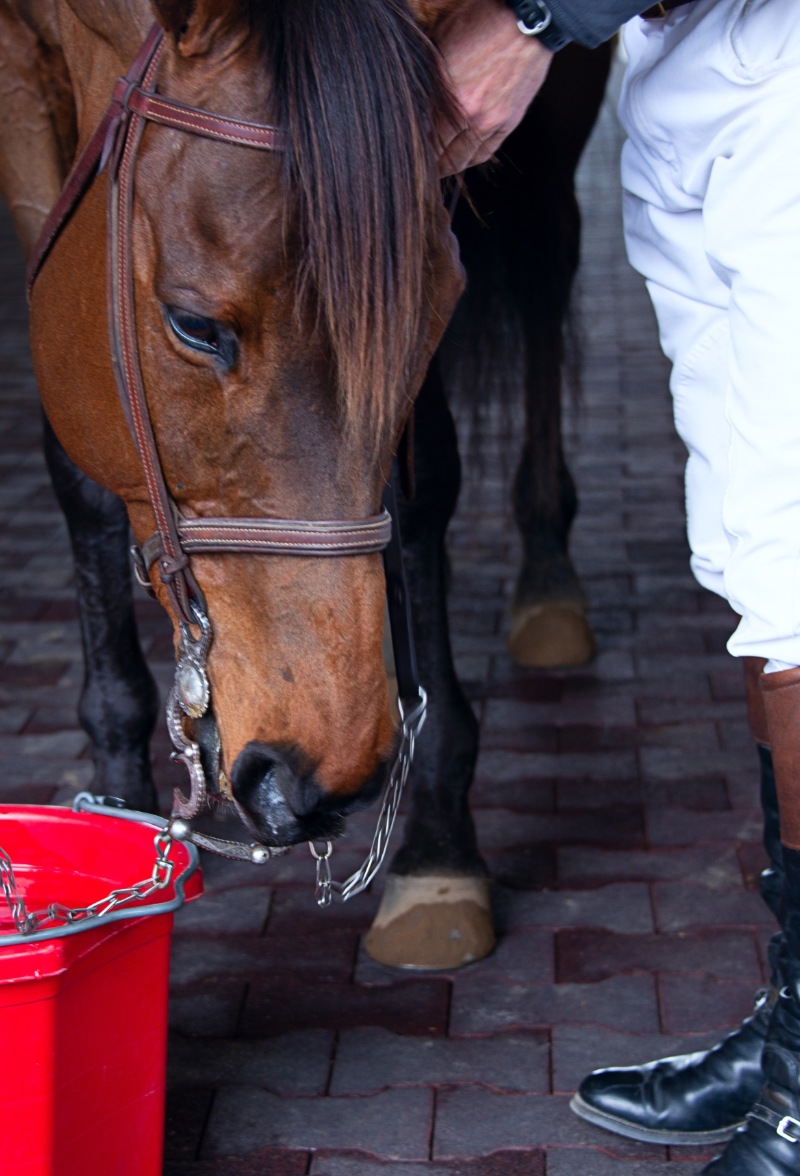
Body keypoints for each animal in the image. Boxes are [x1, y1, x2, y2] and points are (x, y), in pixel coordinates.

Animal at [0, 0, 610, 968]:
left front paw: (439, 846)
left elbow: (418, 488)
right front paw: (117, 795)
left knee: (549, 258)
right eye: (193, 324)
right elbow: (79, 477)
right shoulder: (20, 73)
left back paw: (548, 563)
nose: (317, 775)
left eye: (435, 312)